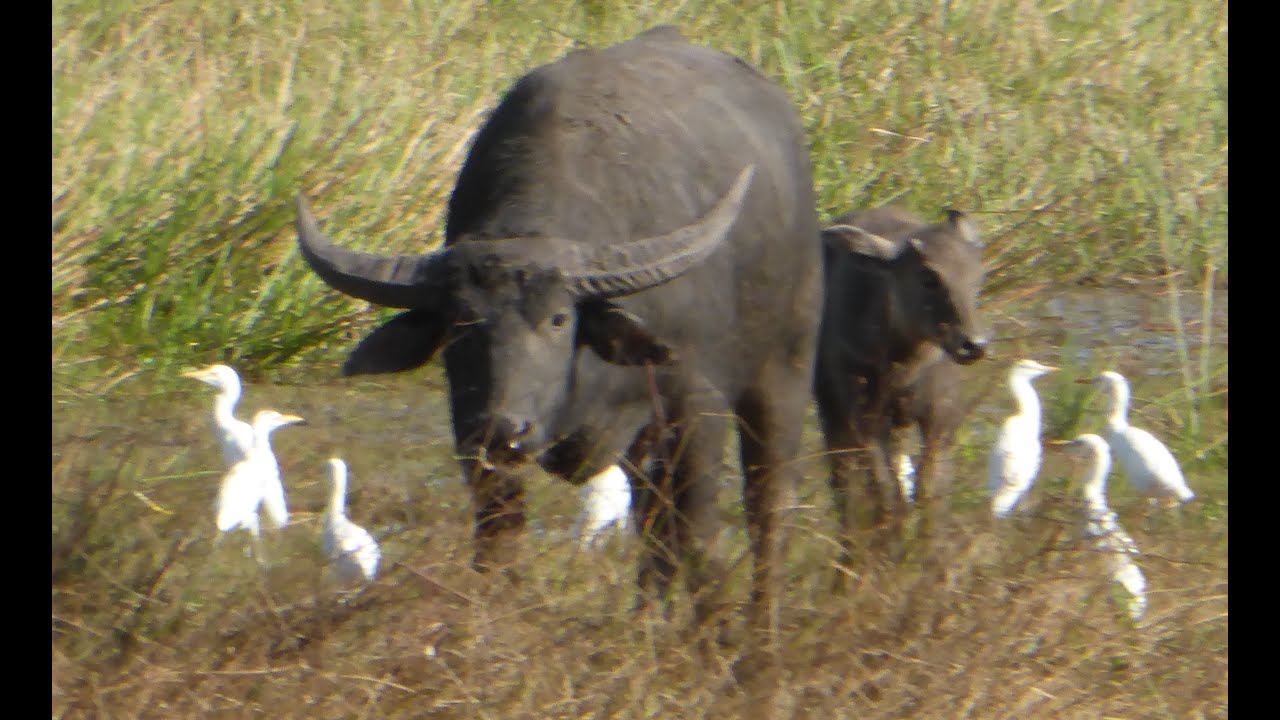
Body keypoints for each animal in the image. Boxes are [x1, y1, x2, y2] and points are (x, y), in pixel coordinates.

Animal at [294, 26, 822, 638]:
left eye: (559, 318)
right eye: (462, 323)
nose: (507, 429)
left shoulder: (695, 405)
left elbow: (701, 537)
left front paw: (716, 637)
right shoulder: (472, 433)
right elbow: (499, 543)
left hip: (785, 365)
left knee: (768, 504)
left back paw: (763, 627)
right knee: (653, 524)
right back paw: (645, 622)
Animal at [813, 206, 988, 567]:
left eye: (977, 277)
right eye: (928, 277)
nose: (974, 344)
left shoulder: (940, 421)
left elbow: (930, 492)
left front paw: (931, 564)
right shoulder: (863, 421)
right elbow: (887, 495)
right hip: (835, 415)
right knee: (846, 488)